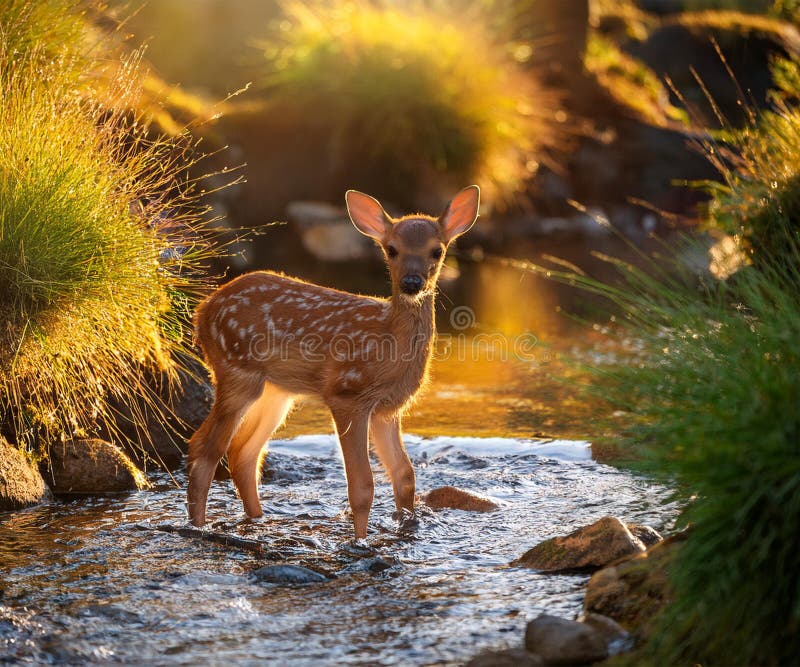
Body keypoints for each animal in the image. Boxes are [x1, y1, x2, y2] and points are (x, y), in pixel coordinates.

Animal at [187, 185, 480, 538]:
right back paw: (198, 526)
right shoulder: (347, 394)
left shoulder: (387, 408)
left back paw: (256, 520)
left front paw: (405, 526)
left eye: (437, 251)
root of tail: (202, 311)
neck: (388, 345)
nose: (412, 282)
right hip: (236, 372)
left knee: (243, 453)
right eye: (392, 249)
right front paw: (360, 541)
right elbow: (362, 485)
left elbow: (404, 475)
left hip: (276, 392)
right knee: (205, 448)